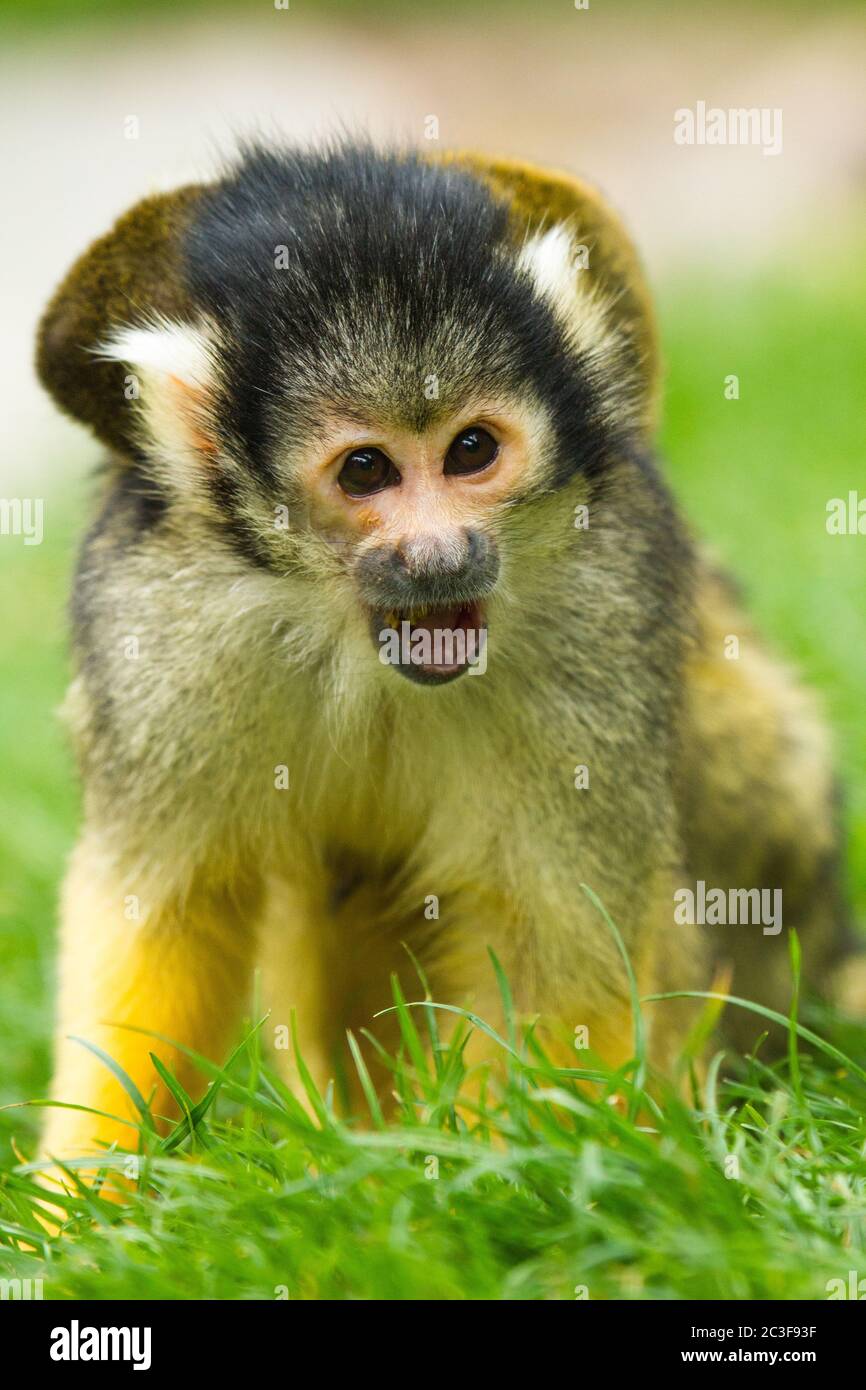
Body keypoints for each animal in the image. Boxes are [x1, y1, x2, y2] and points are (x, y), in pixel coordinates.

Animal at [33, 140, 863, 1169]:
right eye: (365, 470)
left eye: (472, 450)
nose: (437, 555)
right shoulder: (154, 613)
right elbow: (168, 912)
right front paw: (80, 1194)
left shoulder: (607, 593)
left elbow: (554, 930)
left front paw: (501, 1167)